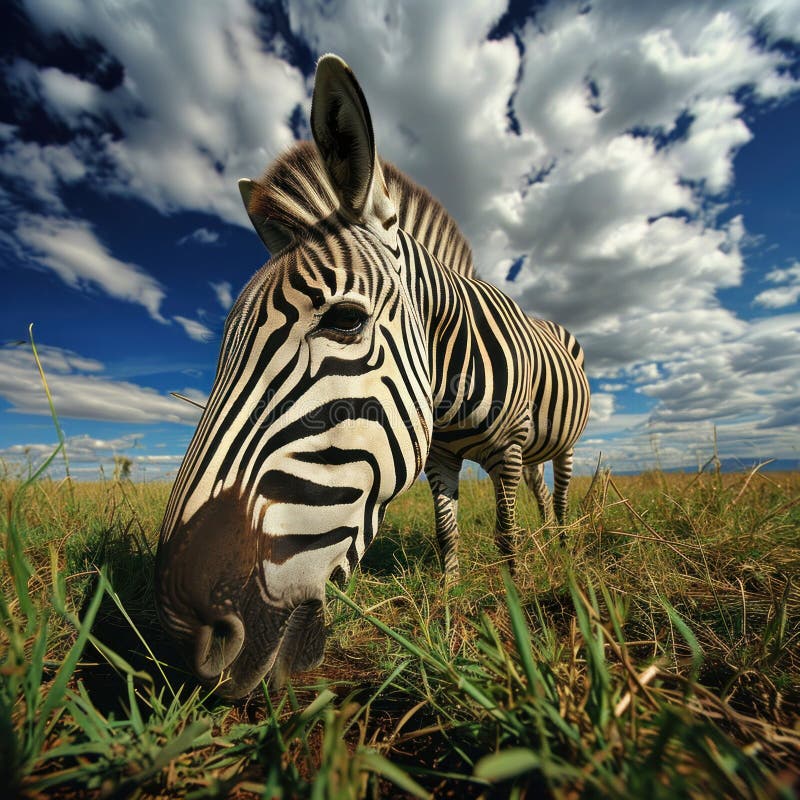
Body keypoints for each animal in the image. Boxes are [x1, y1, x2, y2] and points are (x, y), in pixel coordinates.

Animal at [156, 54, 590, 698]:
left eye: (345, 320)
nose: (188, 634)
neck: (449, 383)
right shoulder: (439, 457)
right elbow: (447, 533)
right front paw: (451, 601)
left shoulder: (509, 447)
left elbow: (504, 530)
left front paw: (515, 595)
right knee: (540, 489)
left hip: (559, 441)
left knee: (556, 489)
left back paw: (557, 543)